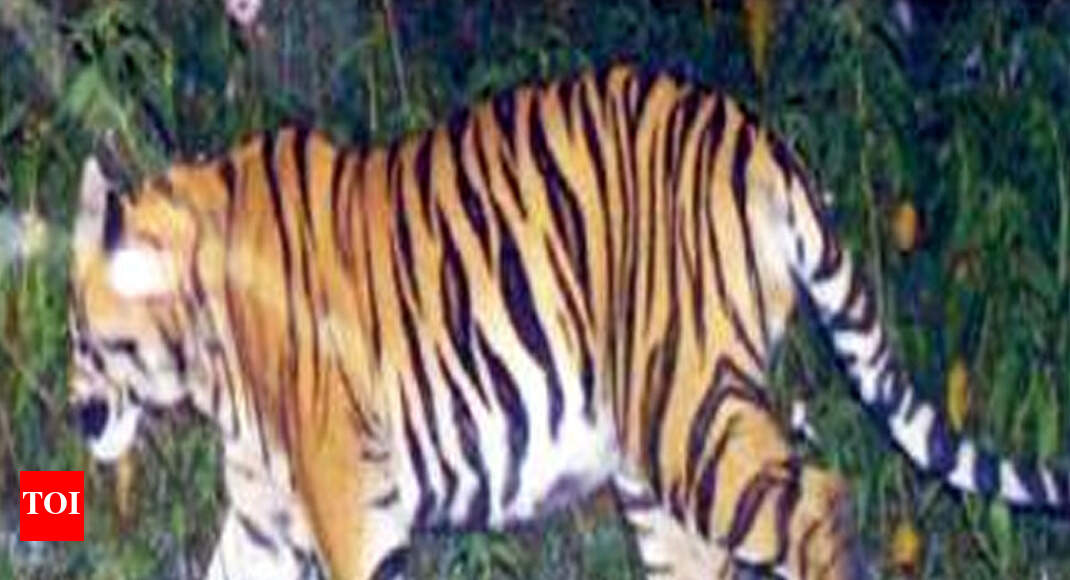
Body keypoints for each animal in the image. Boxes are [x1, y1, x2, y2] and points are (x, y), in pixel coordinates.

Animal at [67, 63, 1069, 580]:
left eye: (81, 332)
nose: (76, 414)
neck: (208, 352)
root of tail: (758, 137)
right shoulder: (266, 517)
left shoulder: (351, 503)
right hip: (655, 460)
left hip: (688, 412)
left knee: (823, 505)